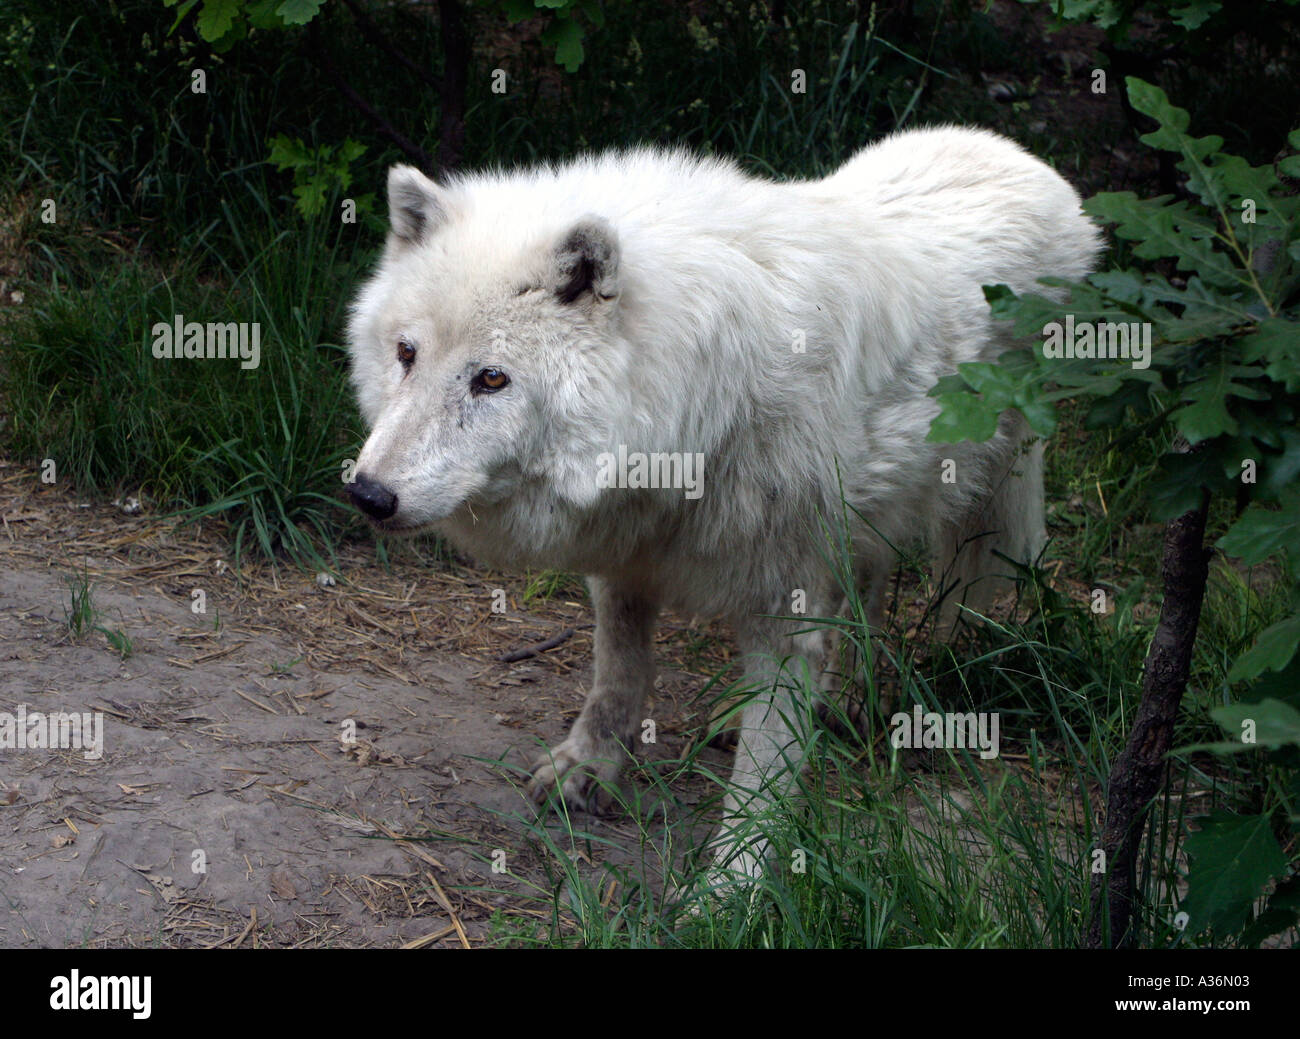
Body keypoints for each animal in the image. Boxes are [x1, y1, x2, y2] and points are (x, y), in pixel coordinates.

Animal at [346, 127, 1100, 880]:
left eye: (492, 379)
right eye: (407, 353)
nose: (368, 493)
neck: (697, 407)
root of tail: (1015, 154)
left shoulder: (784, 597)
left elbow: (764, 774)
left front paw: (733, 884)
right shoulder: (625, 556)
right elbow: (619, 672)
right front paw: (589, 767)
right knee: (864, 591)